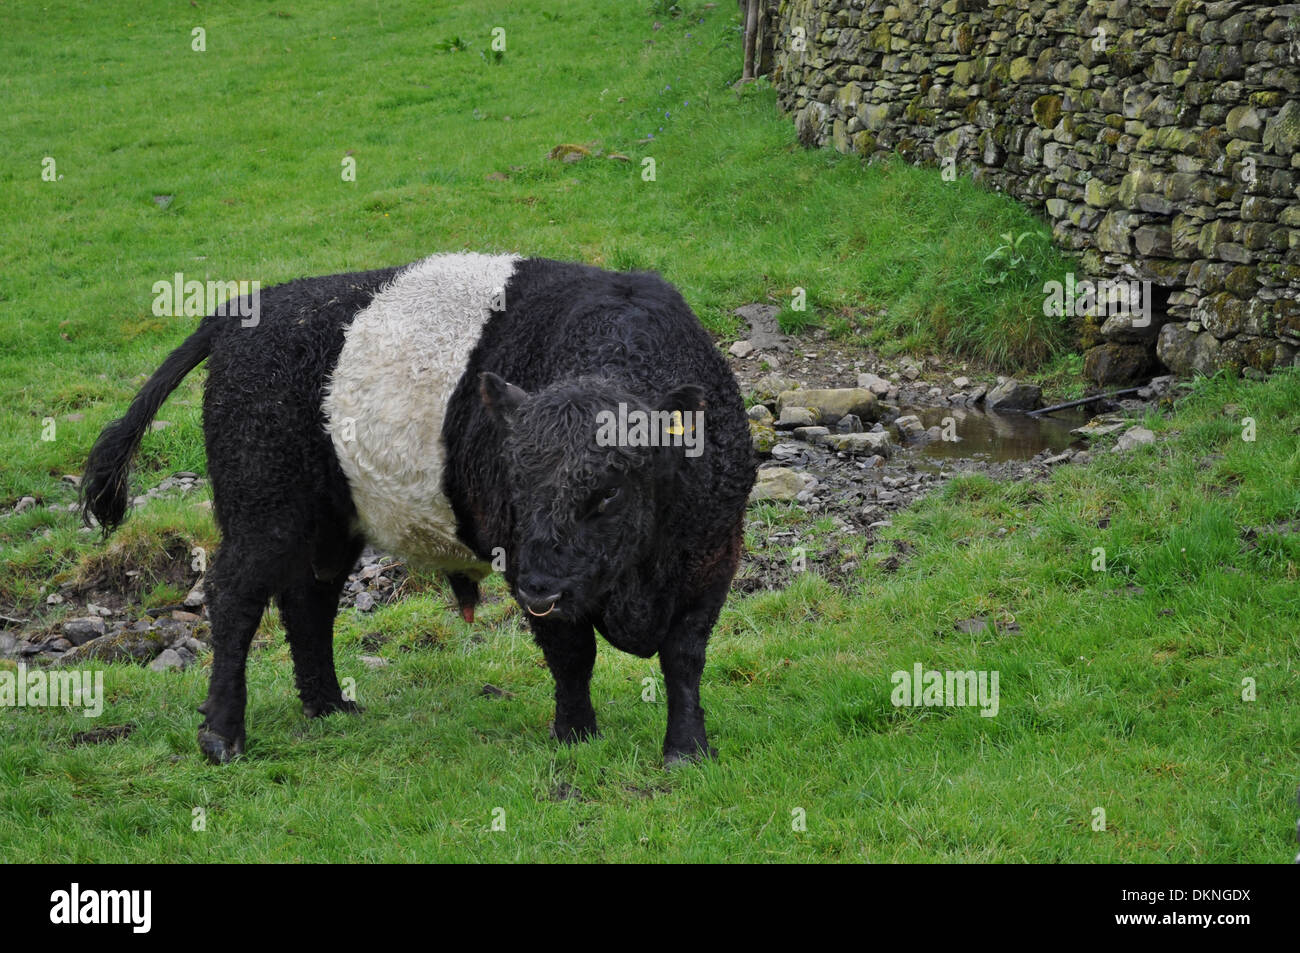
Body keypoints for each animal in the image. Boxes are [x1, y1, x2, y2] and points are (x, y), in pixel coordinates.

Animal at [82, 253, 756, 765]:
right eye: (514, 480)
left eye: (610, 491)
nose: (540, 584)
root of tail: (243, 310)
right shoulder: (523, 559)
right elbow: (572, 654)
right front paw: (576, 737)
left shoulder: (711, 558)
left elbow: (684, 657)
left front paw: (687, 750)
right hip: (263, 509)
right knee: (236, 599)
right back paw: (223, 734)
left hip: (328, 523)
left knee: (307, 601)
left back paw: (329, 705)